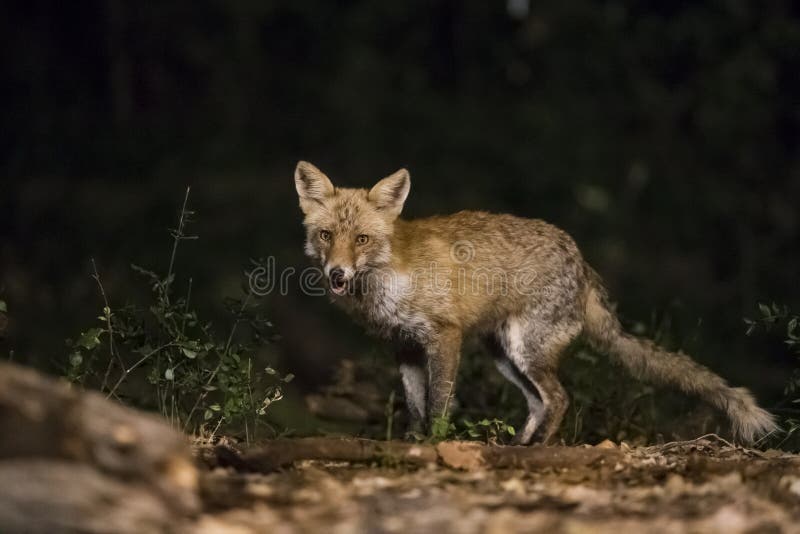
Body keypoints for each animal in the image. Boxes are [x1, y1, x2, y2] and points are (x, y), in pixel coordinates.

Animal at [294, 160, 777, 445]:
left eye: (362, 239)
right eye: (326, 235)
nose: (337, 274)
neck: (388, 279)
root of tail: (581, 261)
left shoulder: (444, 336)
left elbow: (439, 403)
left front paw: (436, 443)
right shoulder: (405, 345)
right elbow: (414, 407)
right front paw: (412, 445)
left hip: (527, 349)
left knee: (560, 399)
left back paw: (535, 450)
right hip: (506, 355)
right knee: (538, 403)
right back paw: (518, 447)